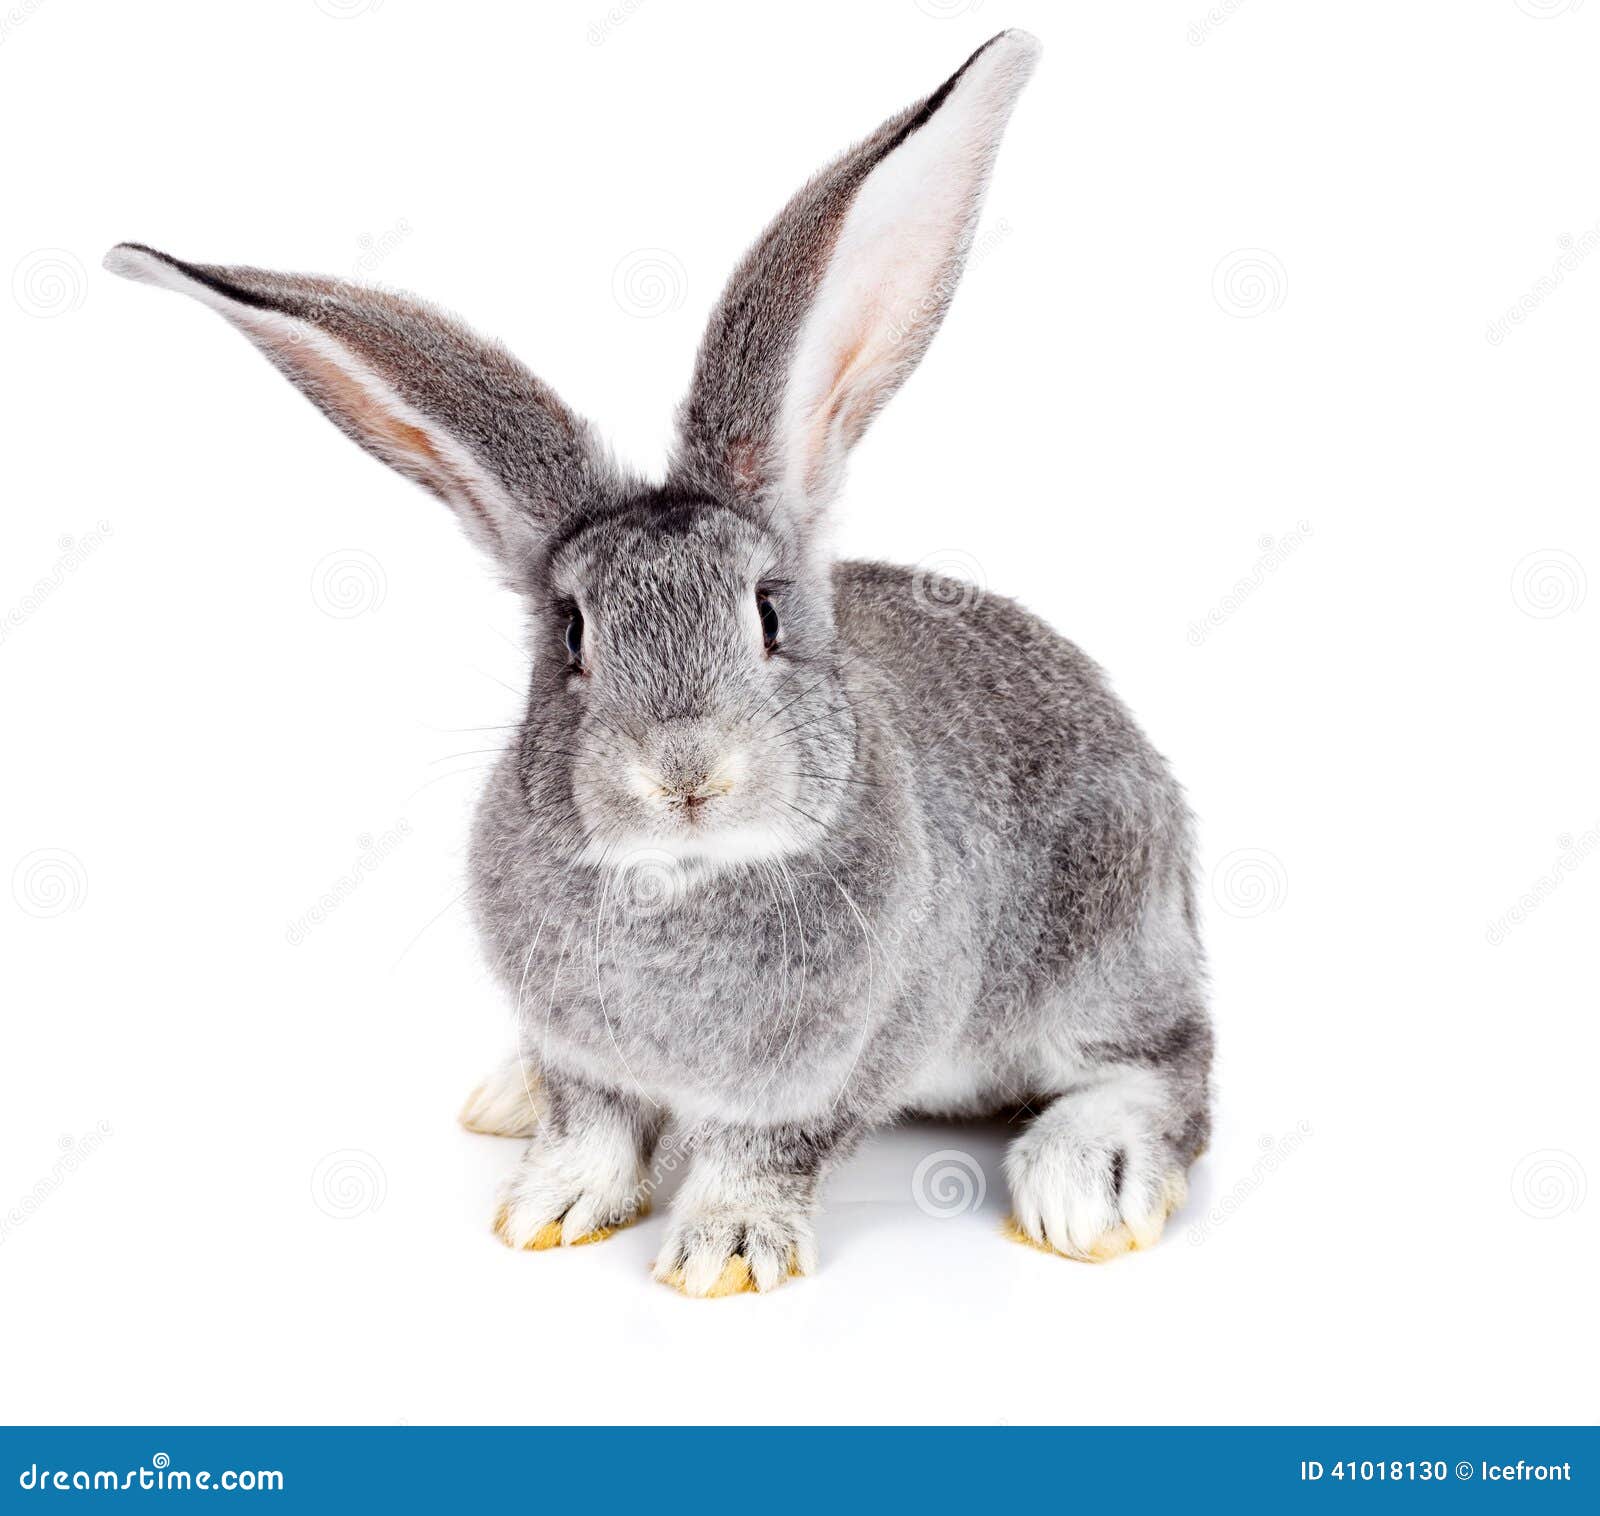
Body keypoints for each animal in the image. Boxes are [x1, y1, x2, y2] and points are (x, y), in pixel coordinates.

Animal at [105, 28, 1211, 1296]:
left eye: (768, 614)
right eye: (571, 633)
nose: (684, 772)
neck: (677, 882)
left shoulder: (830, 1071)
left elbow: (761, 1151)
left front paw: (720, 1249)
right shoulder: (586, 1056)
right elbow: (591, 1119)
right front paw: (548, 1205)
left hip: (1100, 937)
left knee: (1165, 1062)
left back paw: (1089, 1183)